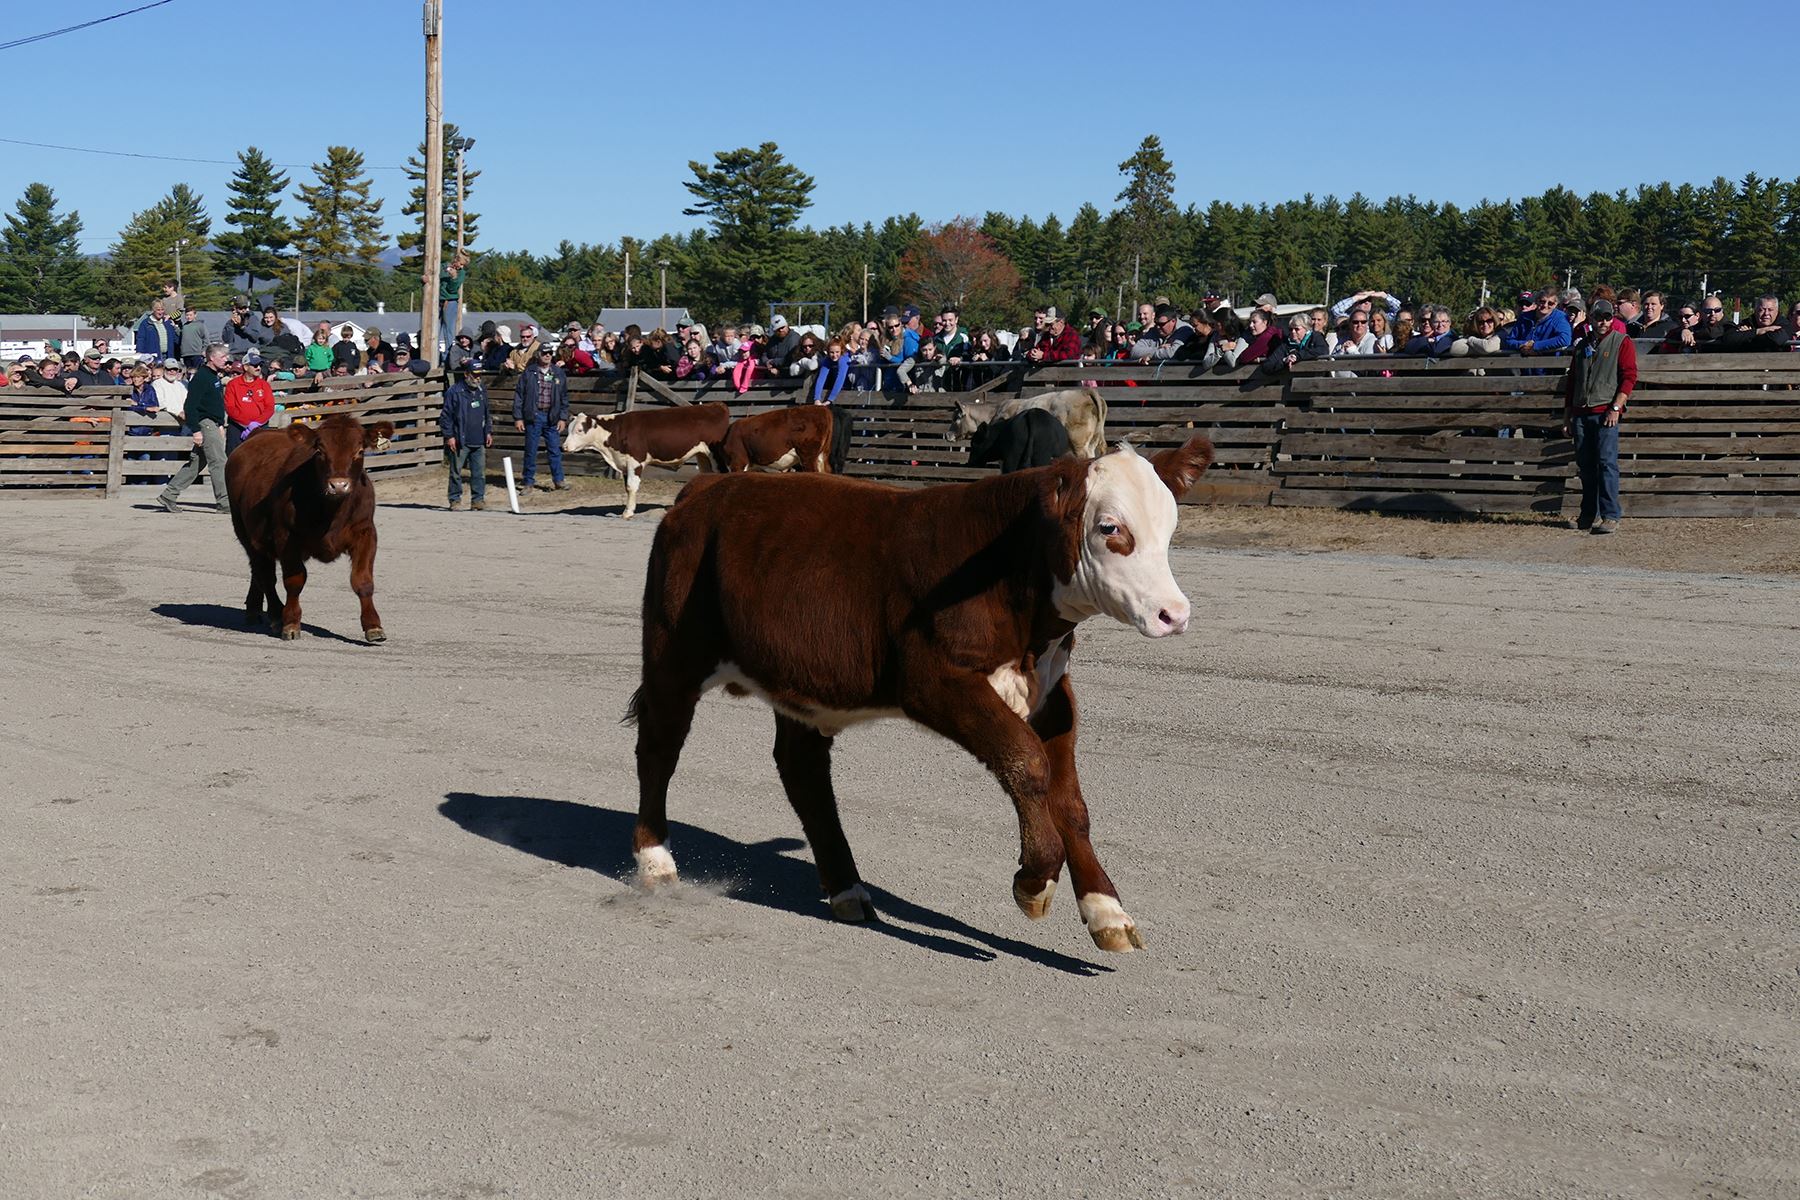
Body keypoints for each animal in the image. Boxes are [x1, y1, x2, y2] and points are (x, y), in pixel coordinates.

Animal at [224, 414, 394, 642]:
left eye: (359, 451)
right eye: (320, 451)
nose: (338, 485)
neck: (332, 511)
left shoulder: (366, 533)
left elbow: (363, 581)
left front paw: (373, 626)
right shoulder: (286, 538)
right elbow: (294, 581)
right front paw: (290, 623)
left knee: (258, 571)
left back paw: (253, 609)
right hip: (245, 532)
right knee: (264, 574)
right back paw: (276, 615)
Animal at [562, 403, 730, 518]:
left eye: (579, 430)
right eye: (569, 429)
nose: (563, 447)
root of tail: (715, 405)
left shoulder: (635, 461)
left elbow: (631, 486)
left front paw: (627, 513)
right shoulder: (625, 463)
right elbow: (627, 488)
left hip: (715, 456)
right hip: (702, 456)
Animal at [626, 435, 1214, 953]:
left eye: (1170, 528)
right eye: (1111, 528)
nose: (1173, 613)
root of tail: (706, 487)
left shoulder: (1051, 691)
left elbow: (1071, 802)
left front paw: (1106, 911)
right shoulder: (934, 680)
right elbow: (1026, 762)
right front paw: (1034, 880)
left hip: (798, 678)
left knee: (802, 770)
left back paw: (847, 888)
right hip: (673, 653)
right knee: (658, 747)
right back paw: (656, 861)